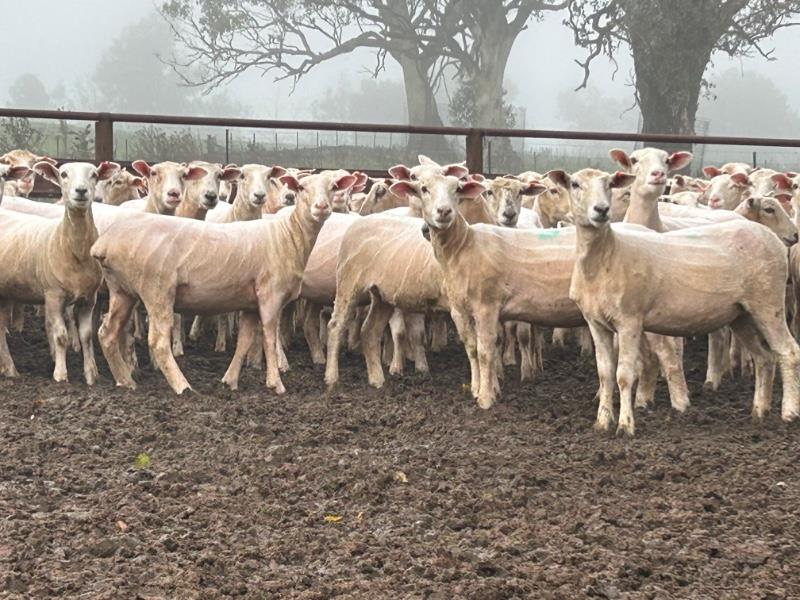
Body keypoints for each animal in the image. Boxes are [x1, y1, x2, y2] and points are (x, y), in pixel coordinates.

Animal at [0, 160, 120, 384]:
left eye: (94, 174)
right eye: (63, 174)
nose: (80, 191)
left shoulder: (89, 298)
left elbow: (86, 336)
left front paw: (91, 375)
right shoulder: (53, 296)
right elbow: (61, 336)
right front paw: (61, 374)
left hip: (6, 292)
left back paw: (9, 369)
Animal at [92, 170, 357, 394]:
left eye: (333, 187)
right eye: (301, 187)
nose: (321, 207)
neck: (288, 235)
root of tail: (105, 244)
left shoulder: (250, 304)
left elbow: (244, 341)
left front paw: (230, 380)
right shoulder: (270, 295)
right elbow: (270, 339)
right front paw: (276, 383)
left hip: (122, 290)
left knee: (106, 332)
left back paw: (125, 381)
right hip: (157, 290)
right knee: (157, 342)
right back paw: (182, 386)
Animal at [556, 167, 800, 436]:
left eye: (610, 184)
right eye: (575, 184)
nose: (601, 210)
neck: (606, 257)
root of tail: (770, 237)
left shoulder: (629, 321)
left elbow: (624, 375)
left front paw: (625, 425)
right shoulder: (595, 323)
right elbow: (605, 374)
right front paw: (601, 422)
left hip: (768, 303)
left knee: (789, 352)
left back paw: (789, 412)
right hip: (741, 313)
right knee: (764, 357)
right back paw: (759, 411)